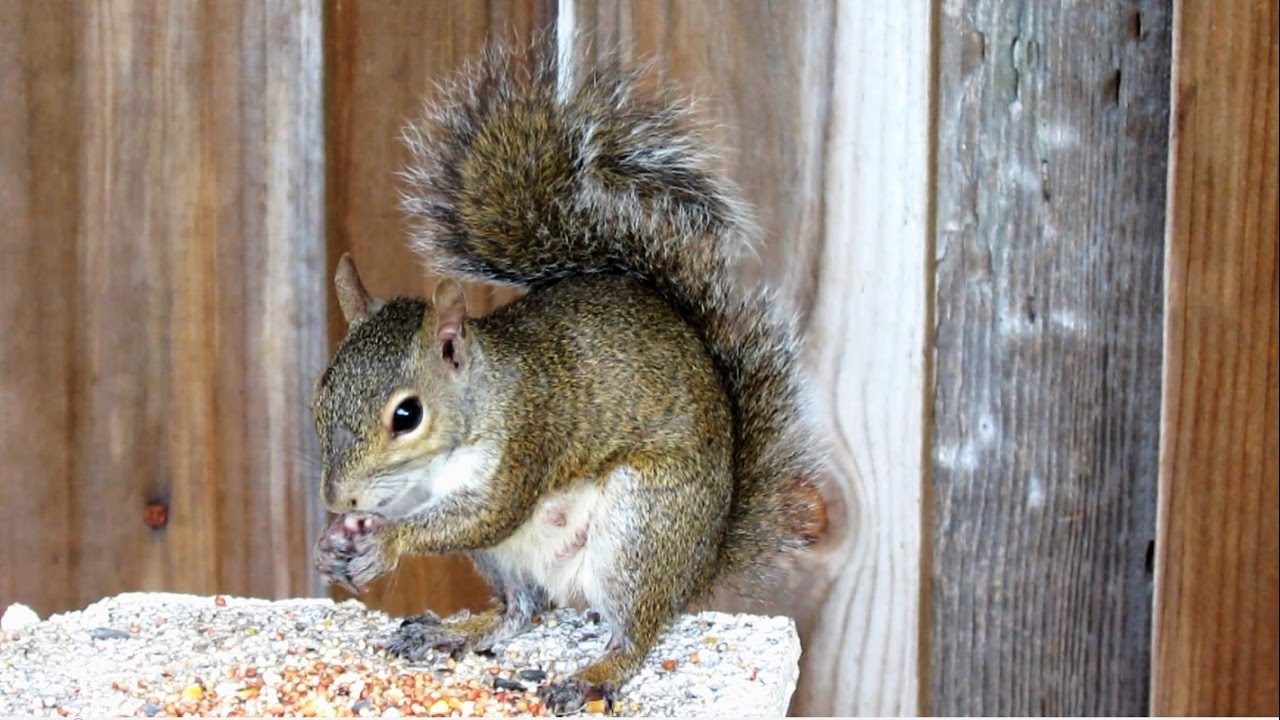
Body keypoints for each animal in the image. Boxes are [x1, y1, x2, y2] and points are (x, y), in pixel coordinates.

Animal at [311, 39, 828, 715]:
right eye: (318, 399)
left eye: (407, 415)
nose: (336, 499)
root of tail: (700, 561)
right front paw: (338, 541)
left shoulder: (528, 441)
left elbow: (489, 511)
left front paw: (385, 542)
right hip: (508, 562)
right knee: (524, 610)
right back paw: (454, 632)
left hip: (640, 528)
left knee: (634, 633)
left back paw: (593, 673)